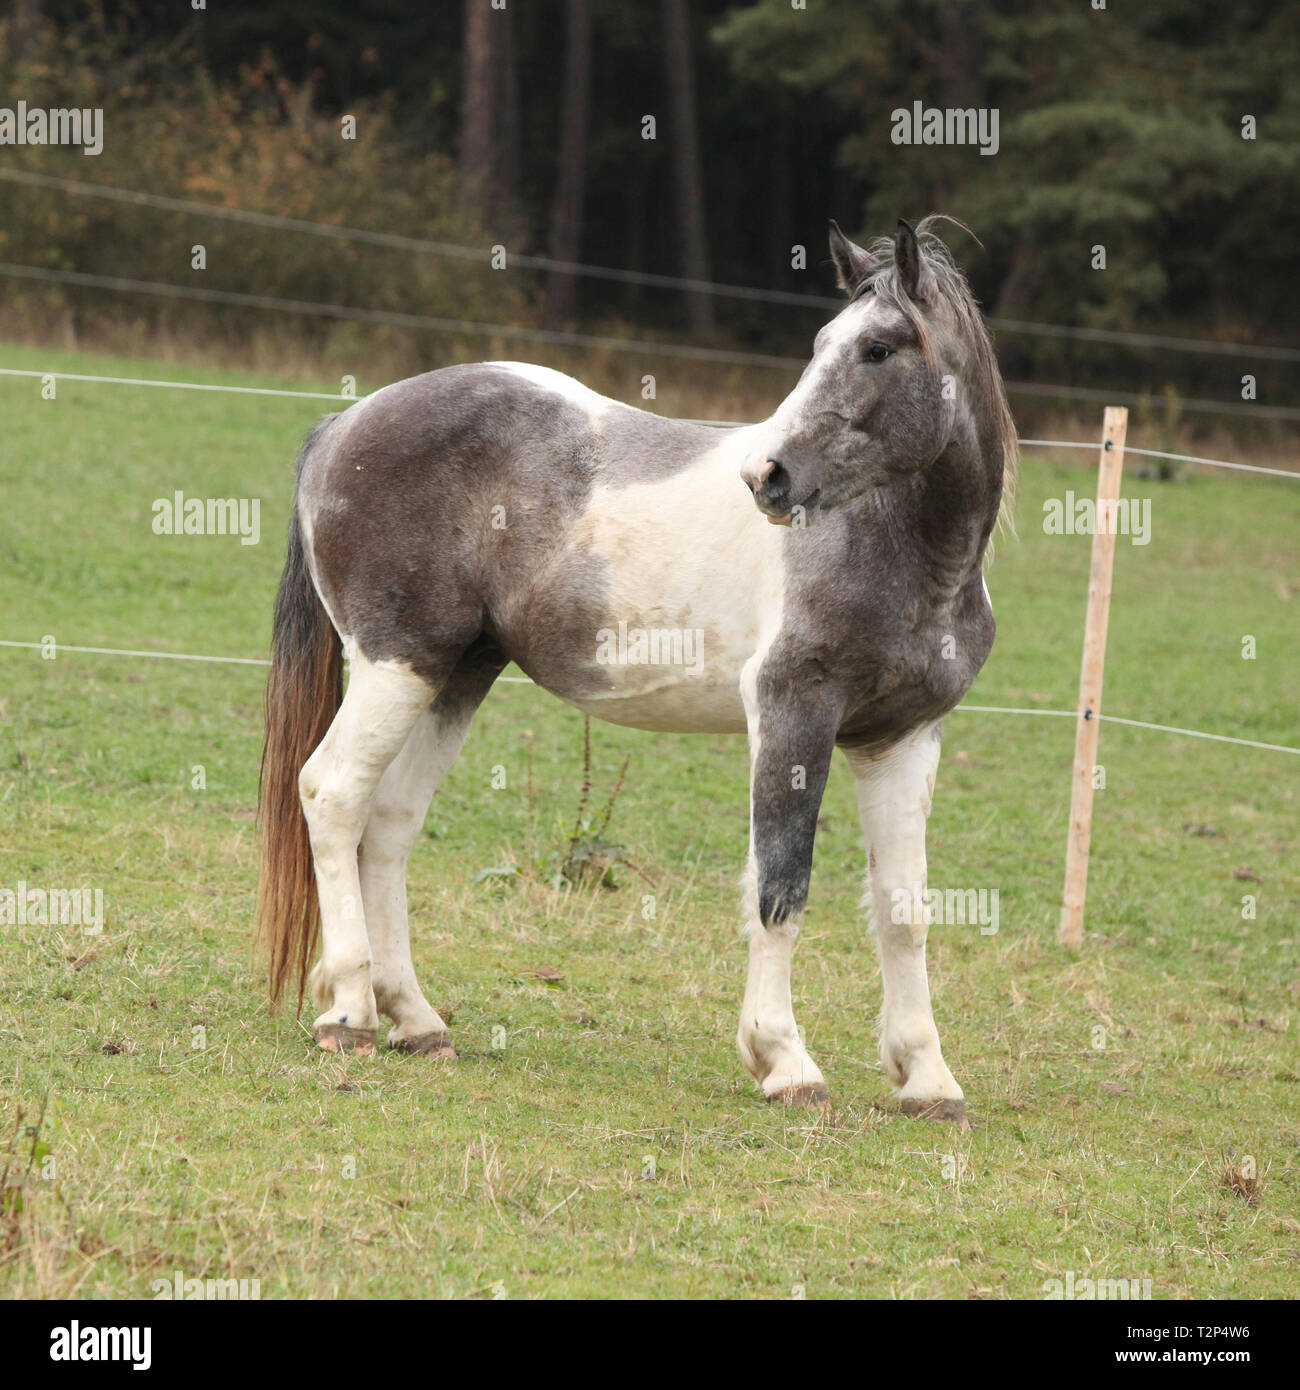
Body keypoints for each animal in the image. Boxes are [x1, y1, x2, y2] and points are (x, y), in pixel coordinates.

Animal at [256, 216, 1016, 1123]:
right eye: (824, 343)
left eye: (877, 348)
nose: (768, 477)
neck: (899, 546)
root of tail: (343, 424)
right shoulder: (792, 712)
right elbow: (780, 888)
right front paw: (785, 1061)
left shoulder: (900, 737)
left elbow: (904, 912)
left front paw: (927, 1079)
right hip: (395, 665)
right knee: (332, 793)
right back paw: (349, 1013)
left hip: (454, 674)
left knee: (391, 822)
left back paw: (416, 1019)